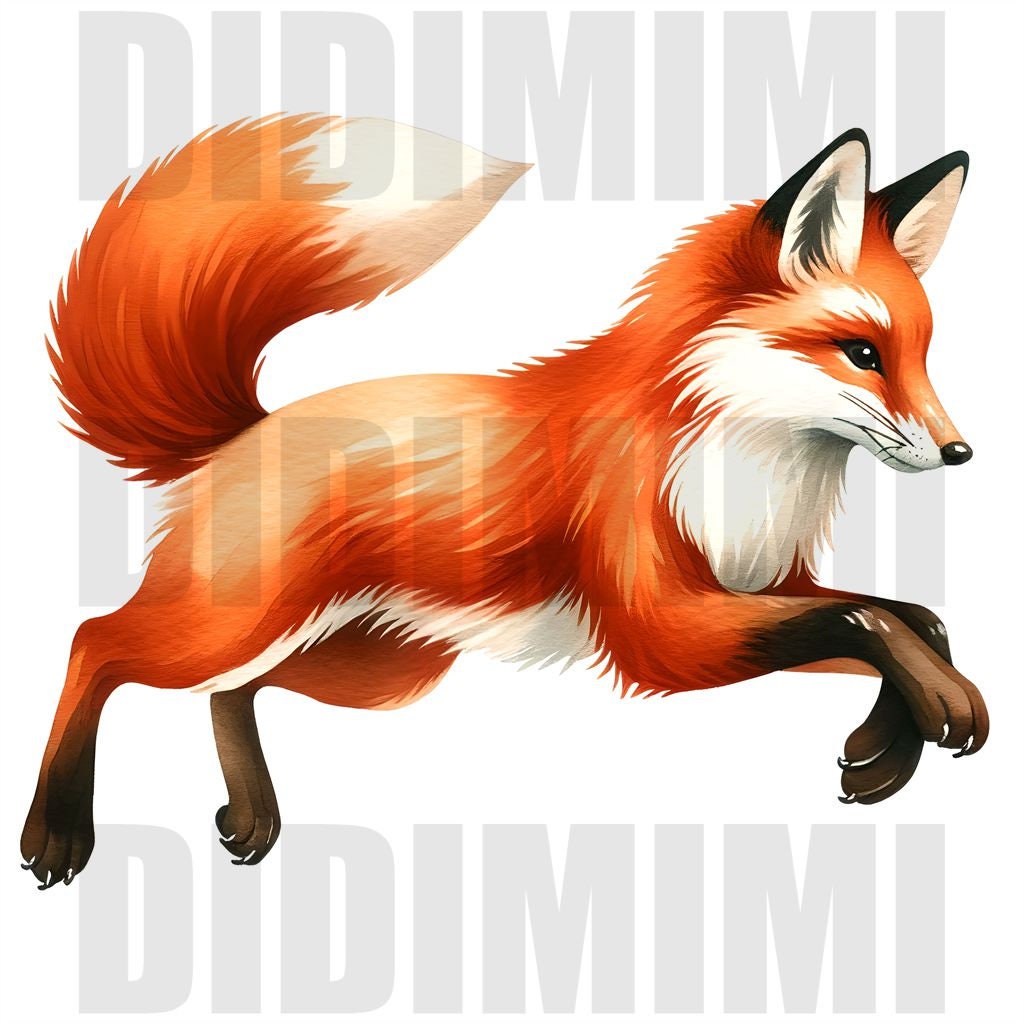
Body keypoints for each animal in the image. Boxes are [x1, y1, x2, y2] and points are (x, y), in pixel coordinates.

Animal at [22, 116, 987, 889]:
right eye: (862, 352)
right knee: (96, 642)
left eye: (921, 353)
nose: (960, 453)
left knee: (230, 691)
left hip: (371, 667)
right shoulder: (661, 629)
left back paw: (251, 810)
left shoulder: (762, 586)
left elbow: (915, 617)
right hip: (239, 624)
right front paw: (932, 717)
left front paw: (886, 748)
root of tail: (244, 428)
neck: (738, 462)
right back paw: (57, 829)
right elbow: (866, 620)